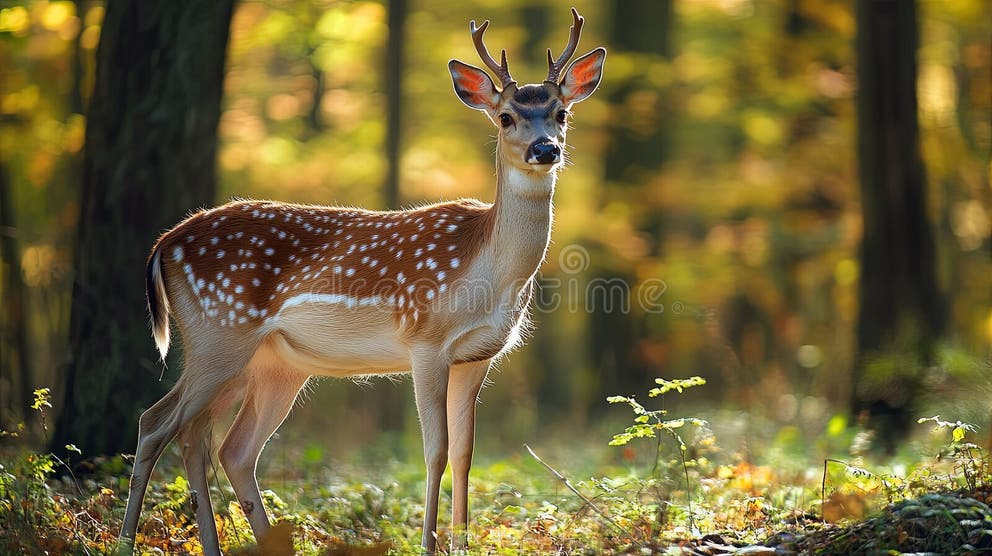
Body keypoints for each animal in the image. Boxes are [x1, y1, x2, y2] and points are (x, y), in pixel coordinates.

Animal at [117, 8, 604, 555]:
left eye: (561, 113)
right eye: (505, 117)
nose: (546, 149)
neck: (487, 274)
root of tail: (164, 243)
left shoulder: (477, 355)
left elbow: (465, 454)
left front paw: (459, 541)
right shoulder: (425, 340)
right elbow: (435, 452)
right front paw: (429, 543)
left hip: (270, 363)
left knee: (222, 445)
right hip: (217, 331)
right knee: (156, 424)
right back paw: (127, 541)